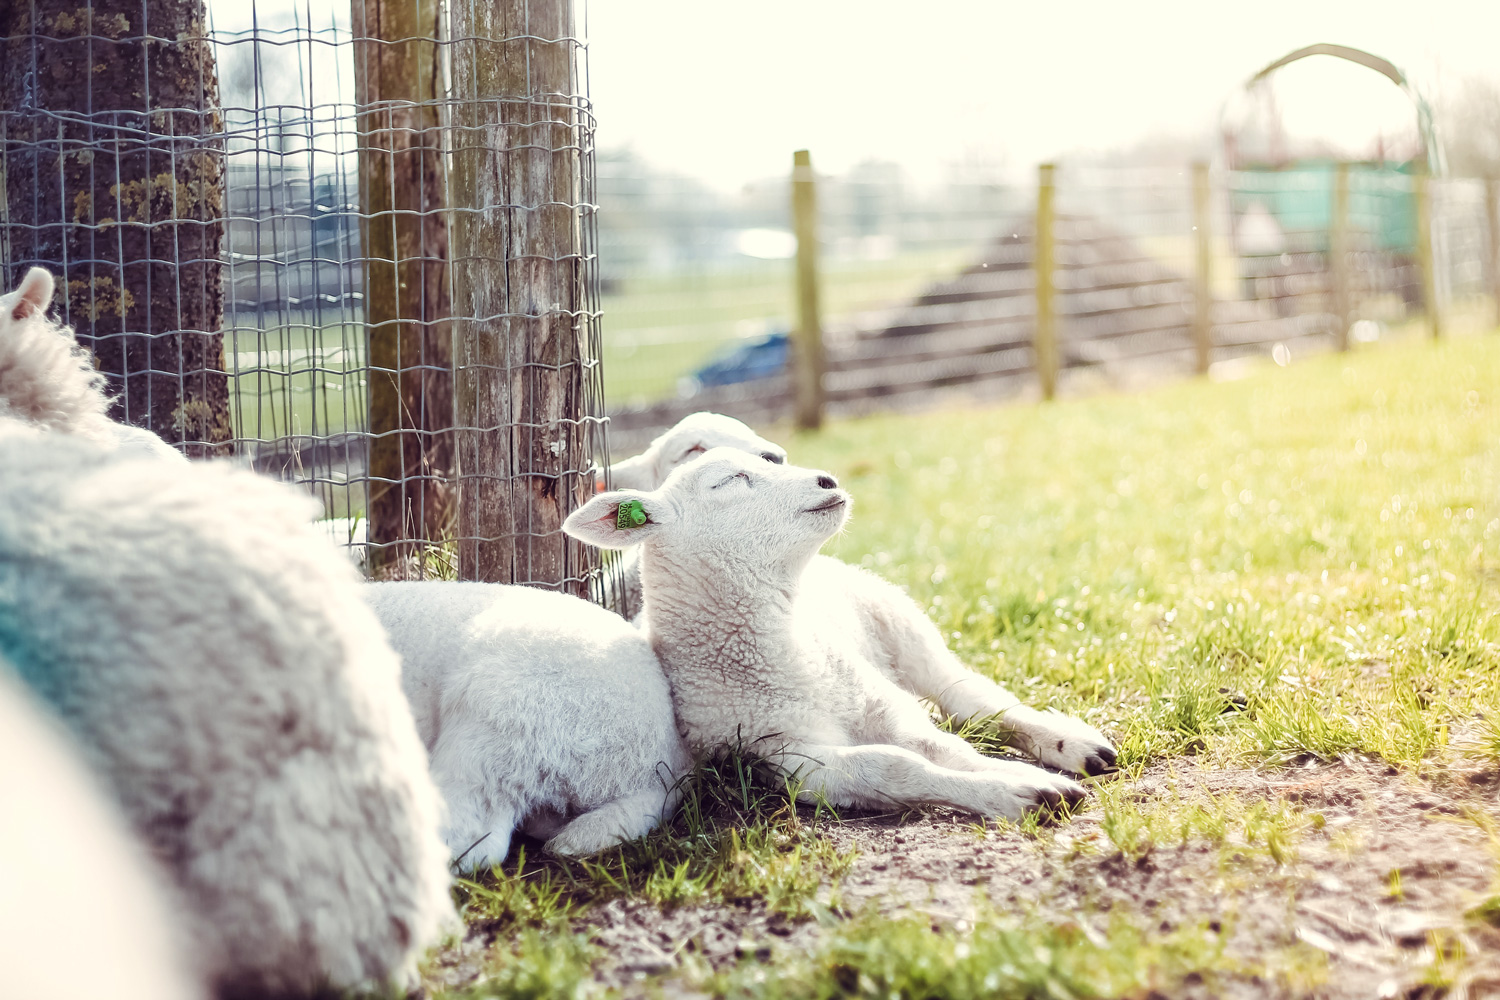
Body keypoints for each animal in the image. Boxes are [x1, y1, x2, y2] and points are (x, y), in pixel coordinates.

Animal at [565, 449, 1106, 821]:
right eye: (729, 481)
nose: (827, 480)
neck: (787, 660)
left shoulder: (882, 704)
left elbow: (946, 749)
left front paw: (1025, 777)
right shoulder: (785, 759)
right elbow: (896, 766)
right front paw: (1021, 792)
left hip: (899, 620)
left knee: (972, 699)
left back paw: (1074, 745)